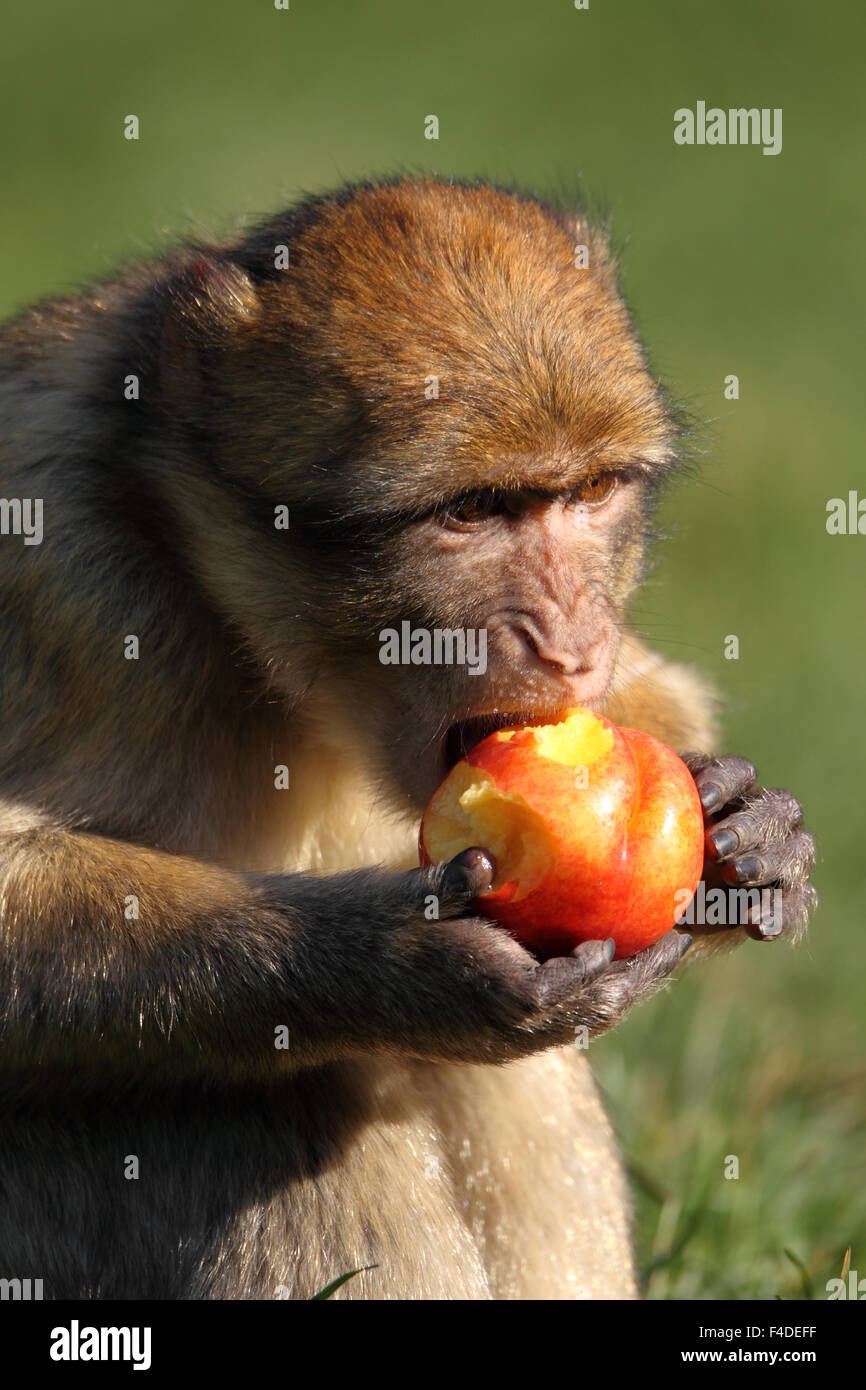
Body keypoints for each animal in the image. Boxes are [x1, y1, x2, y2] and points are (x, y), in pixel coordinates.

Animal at [0, 178, 816, 1300]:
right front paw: (398, 961)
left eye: (587, 493)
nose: (571, 640)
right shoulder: (56, 571)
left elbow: (657, 695)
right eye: (470, 511)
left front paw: (749, 828)